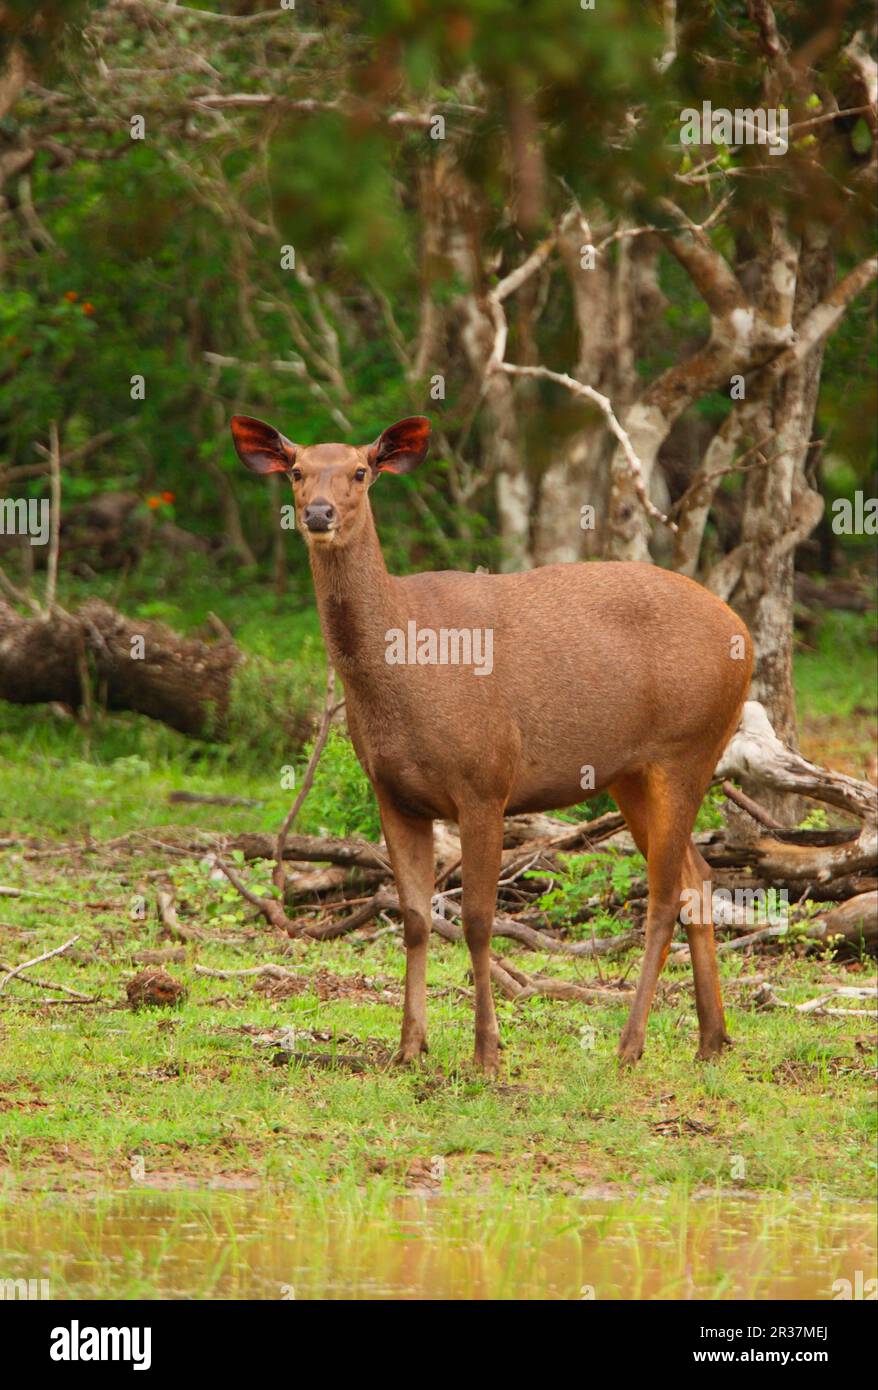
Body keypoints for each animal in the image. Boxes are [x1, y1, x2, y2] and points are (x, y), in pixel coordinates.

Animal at [231, 413, 753, 1075]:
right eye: (297, 470)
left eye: (360, 470)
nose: (319, 513)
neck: (403, 671)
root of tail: (744, 634)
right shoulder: (394, 795)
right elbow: (415, 917)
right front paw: (409, 1048)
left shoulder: (485, 781)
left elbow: (479, 920)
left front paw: (486, 1052)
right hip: (629, 774)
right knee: (699, 875)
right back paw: (713, 1038)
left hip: (688, 746)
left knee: (664, 893)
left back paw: (630, 1044)